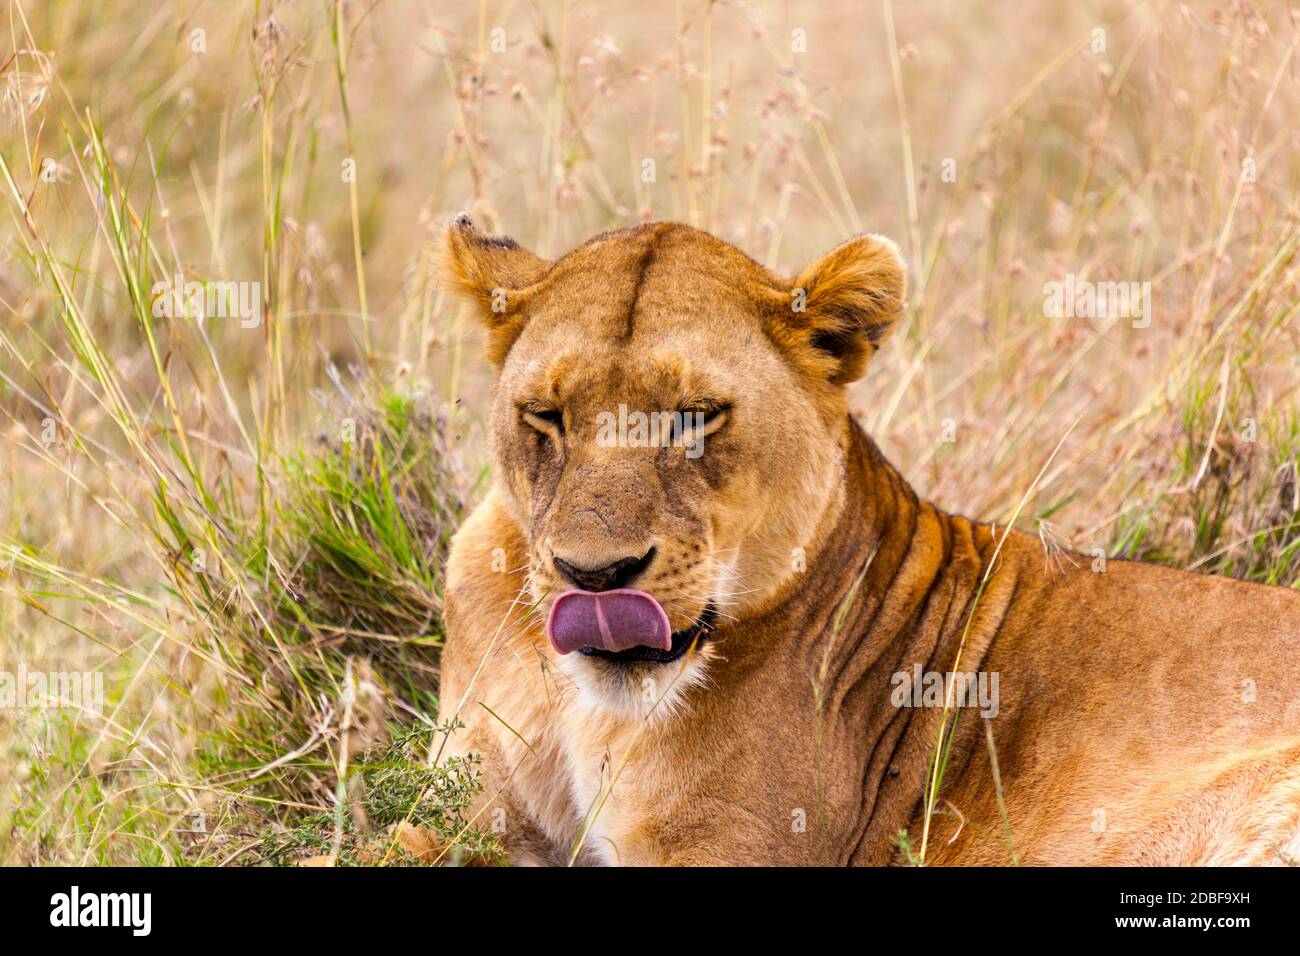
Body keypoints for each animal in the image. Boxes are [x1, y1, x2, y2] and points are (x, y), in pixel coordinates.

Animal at [433, 215, 1300, 866]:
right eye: (547, 416)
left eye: (695, 417)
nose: (595, 576)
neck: (592, 712)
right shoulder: (475, 804)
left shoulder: (730, 846)